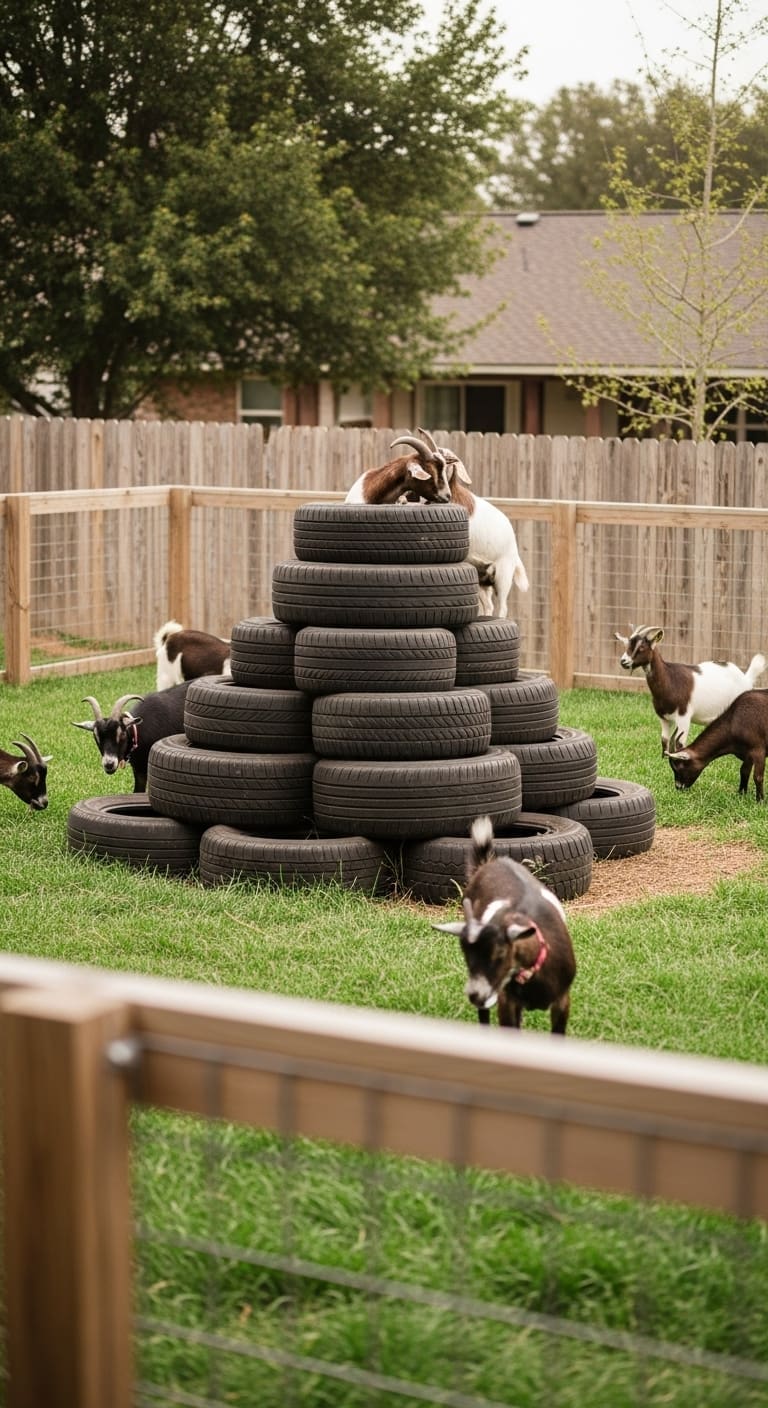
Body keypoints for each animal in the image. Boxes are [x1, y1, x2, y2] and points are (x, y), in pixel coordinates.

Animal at [434, 815, 576, 1033]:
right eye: (465, 953)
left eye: (500, 953)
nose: (475, 994)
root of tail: (489, 863)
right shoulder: (505, 1001)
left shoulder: (562, 1000)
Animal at [615, 624, 766, 755]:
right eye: (627, 644)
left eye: (641, 647)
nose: (623, 662)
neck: (670, 678)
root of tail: (745, 678)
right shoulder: (663, 718)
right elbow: (664, 742)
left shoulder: (684, 717)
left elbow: (679, 745)